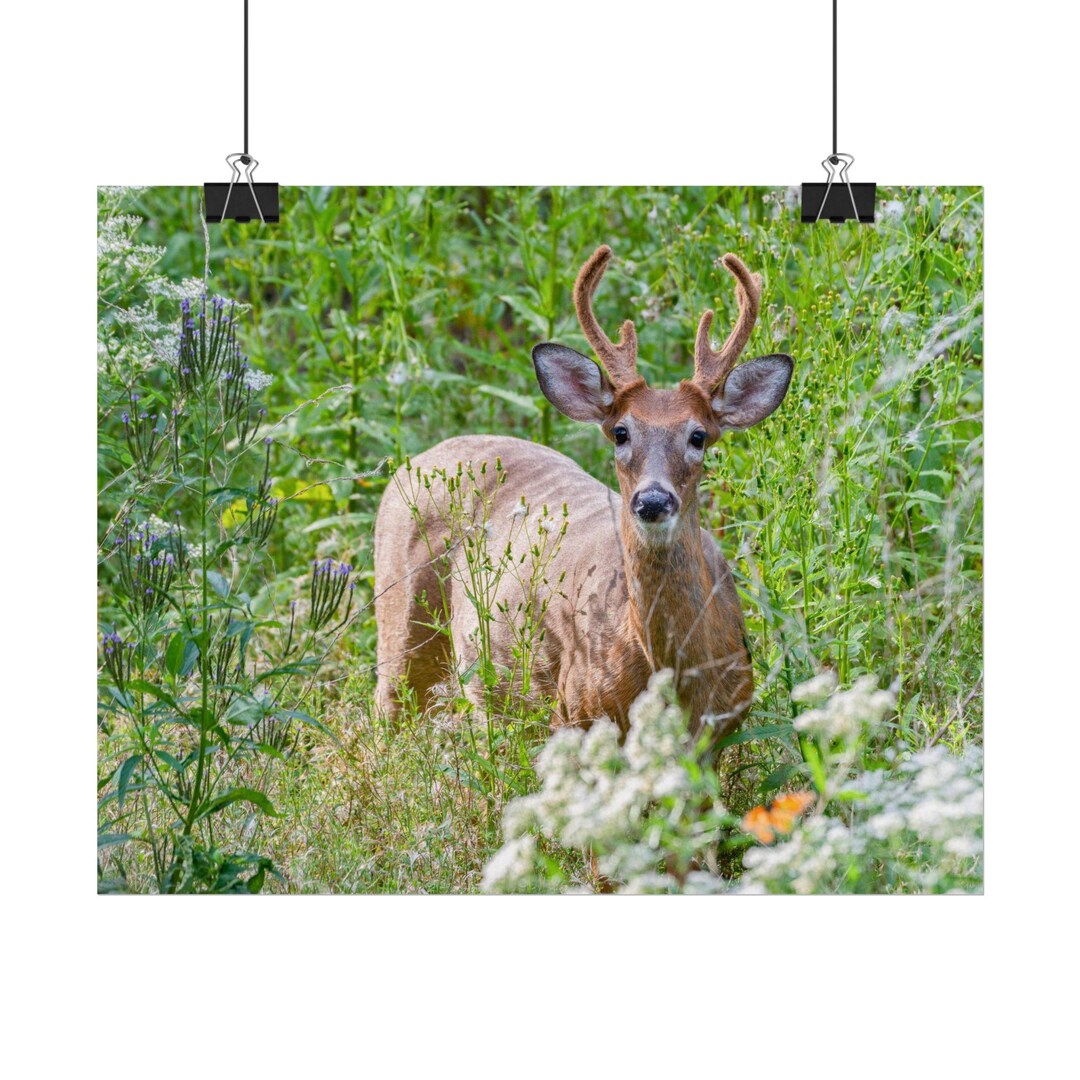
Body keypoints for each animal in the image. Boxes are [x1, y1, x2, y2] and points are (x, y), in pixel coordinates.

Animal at [373, 245, 793, 739]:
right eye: (620, 432)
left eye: (698, 436)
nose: (652, 501)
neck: (676, 677)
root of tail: (414, 462)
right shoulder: (577, 712)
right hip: (400, 623)